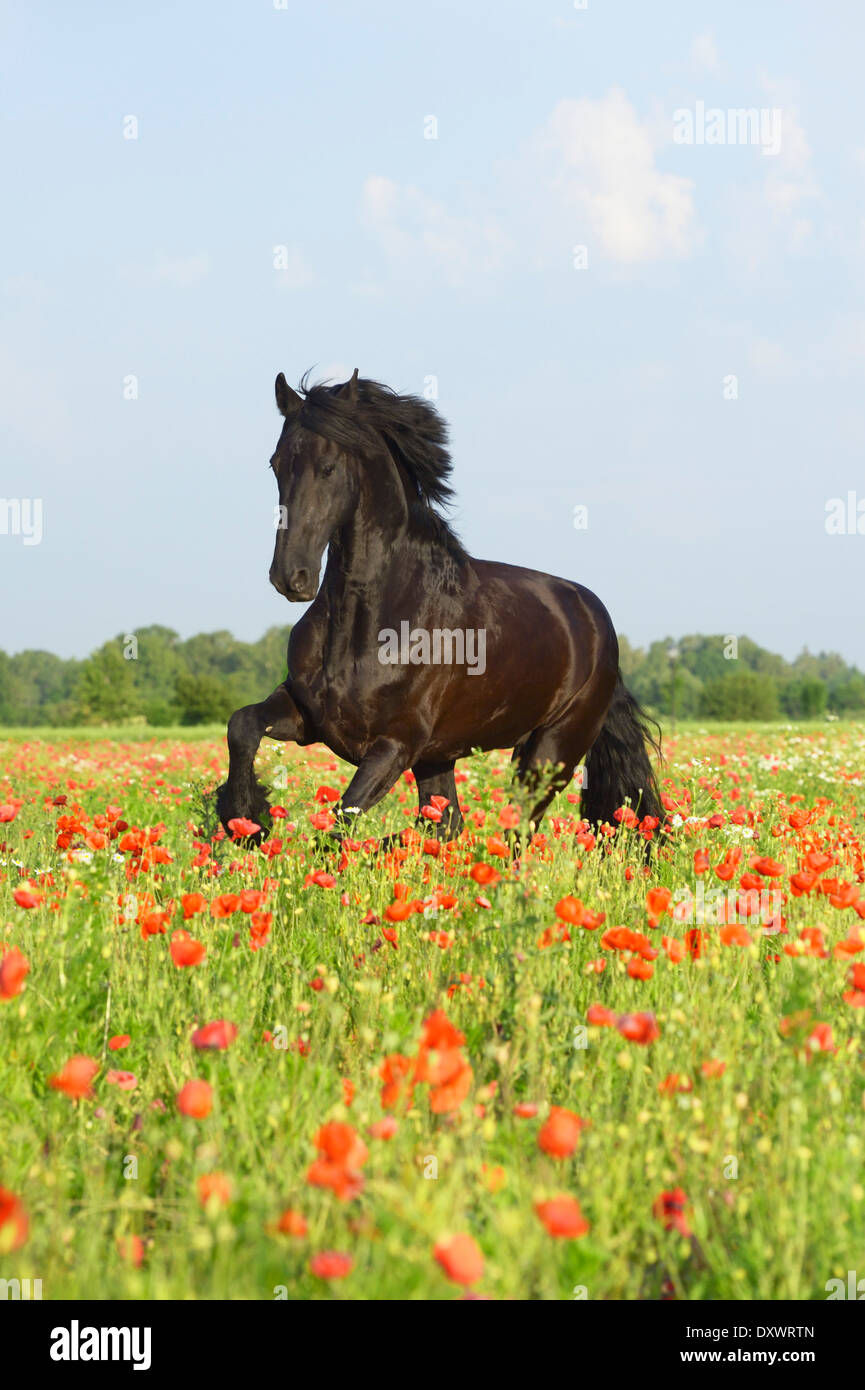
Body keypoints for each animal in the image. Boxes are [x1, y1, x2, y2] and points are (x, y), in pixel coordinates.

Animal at [216, 370, 662, 845]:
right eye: (276, 463)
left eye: (329, 466)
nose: (290, 577)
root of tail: (597, 620)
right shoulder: (308, 717)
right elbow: (242, 725)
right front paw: (245, 819)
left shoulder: (395, 745)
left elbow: (339, 825)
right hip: (441, 756)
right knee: (447, 824)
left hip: (551, 751)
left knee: (516, 831)